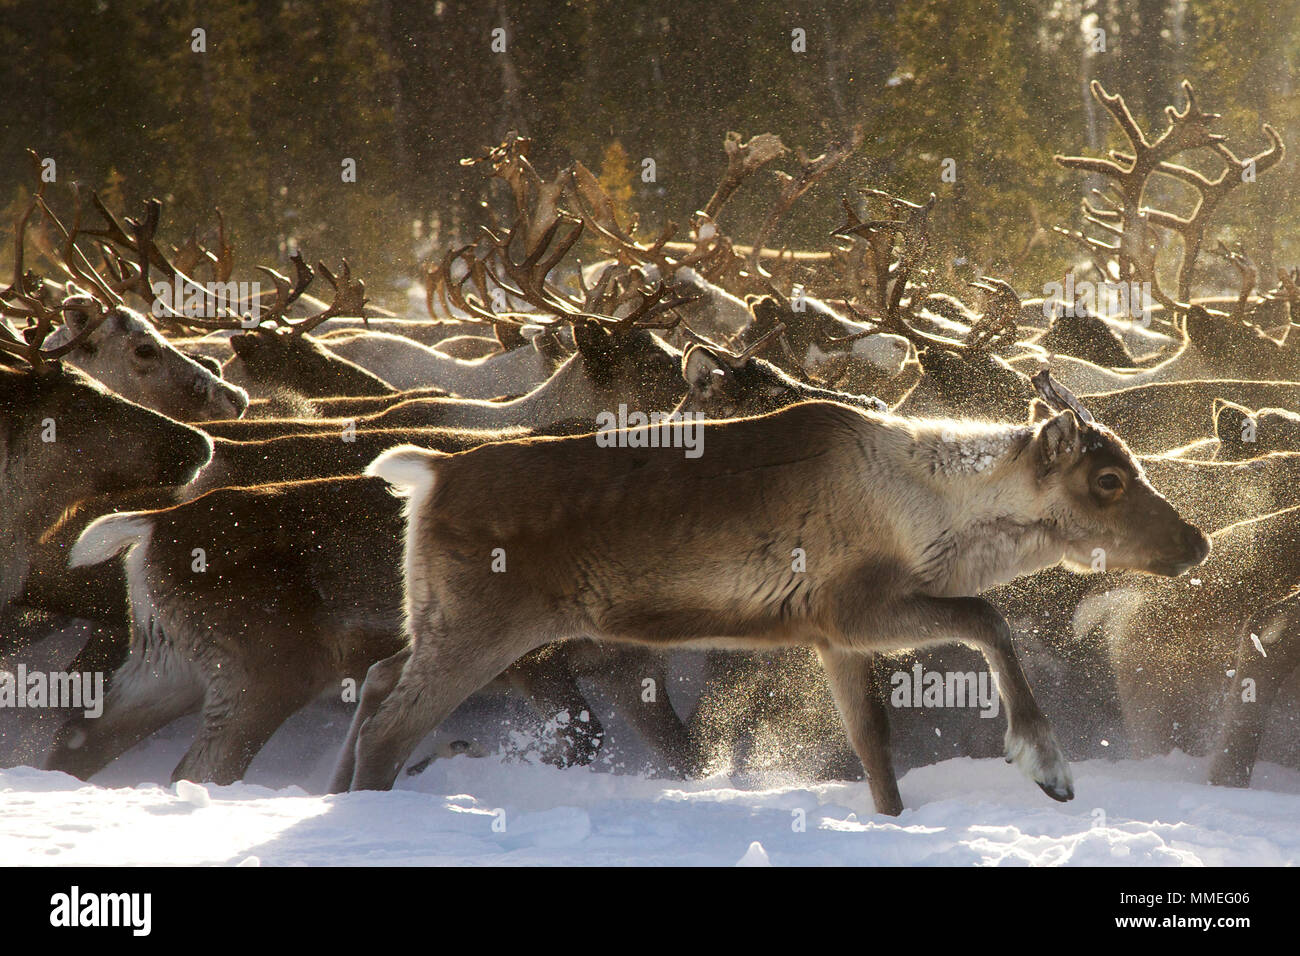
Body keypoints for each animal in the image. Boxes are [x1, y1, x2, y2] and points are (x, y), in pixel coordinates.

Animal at [332, 368, 1209, 815]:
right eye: (1107, 480)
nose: (1196, 543)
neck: (928, 515)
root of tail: (429, 474)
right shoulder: (855, 607)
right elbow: (988, 617)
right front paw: (1046, 765)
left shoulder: (829, 636)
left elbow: (872, 743)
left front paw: (890, 818)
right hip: (484, 623)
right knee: (390, 728)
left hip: (436, 615)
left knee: (375, 681)